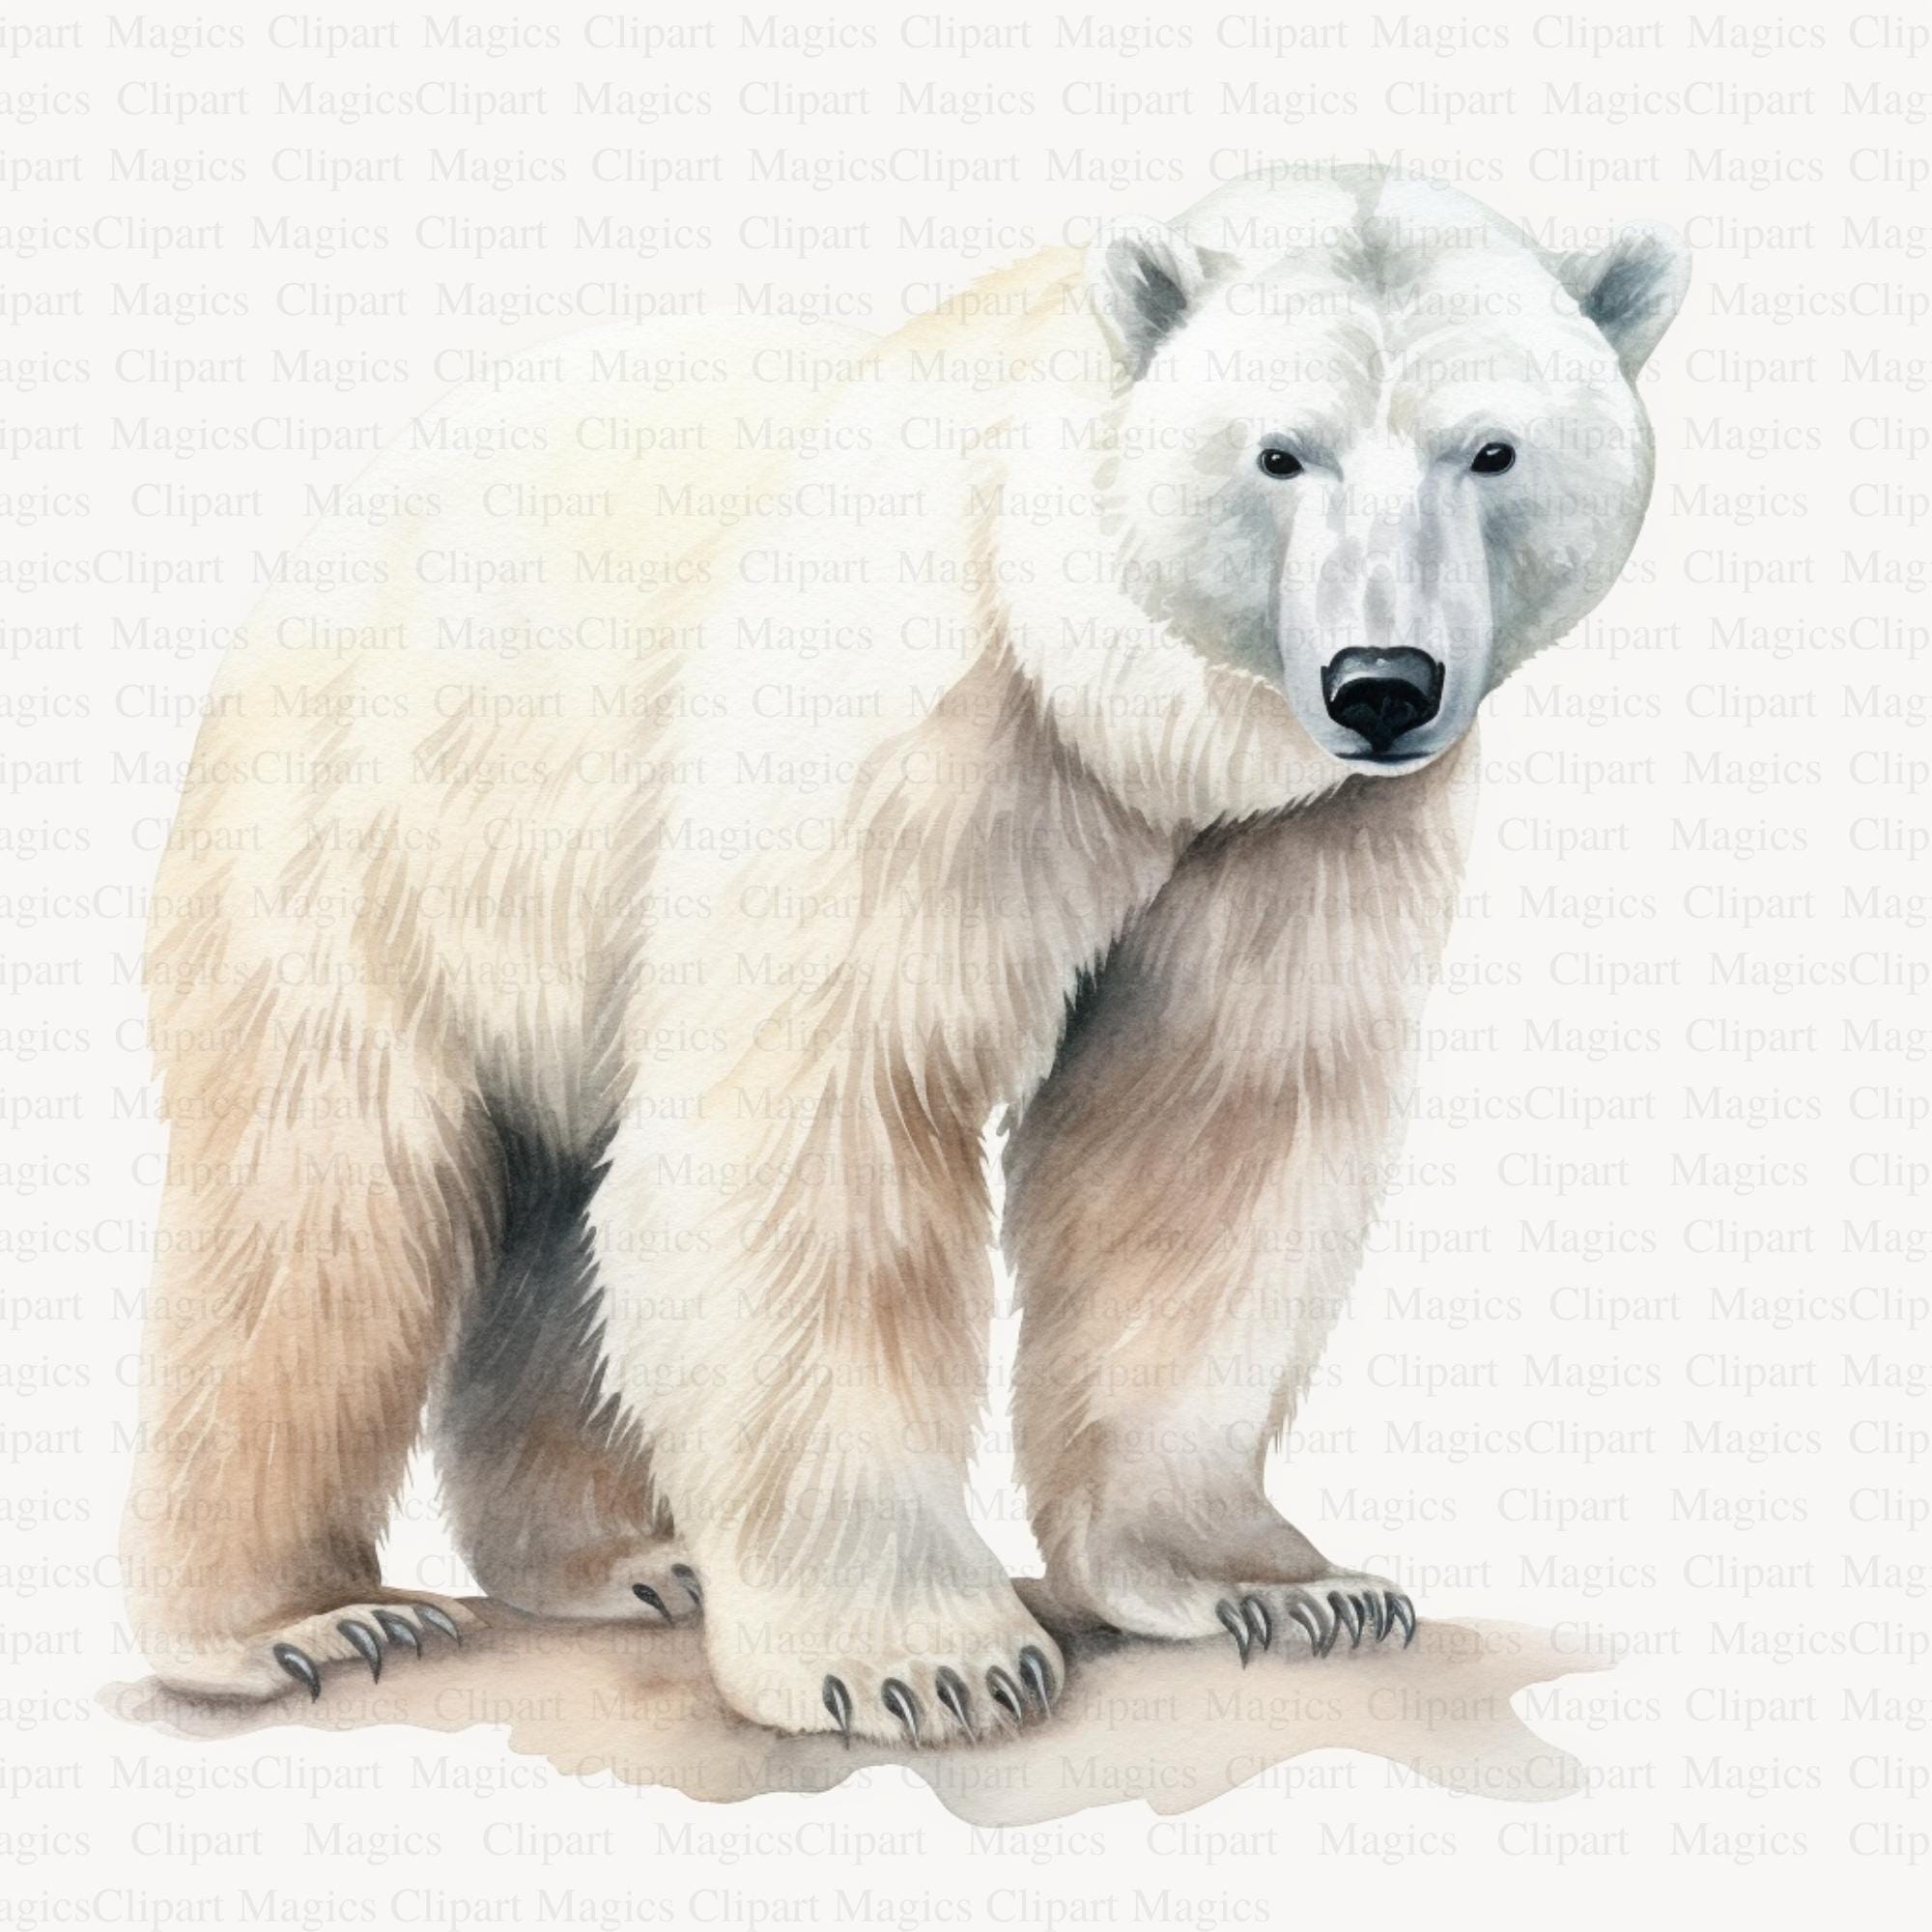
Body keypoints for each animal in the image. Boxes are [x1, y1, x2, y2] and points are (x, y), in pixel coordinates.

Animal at [124, 164, 1686, 1744]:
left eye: (1490, 449)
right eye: (1277, 453)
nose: (1381, 684)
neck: (1127, 715)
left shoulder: (1287, 836)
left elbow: (1210, 1130)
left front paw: (1278, 1588)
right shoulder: (920, 720)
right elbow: (820, 1116)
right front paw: (925, 1660)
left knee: (561, 1200)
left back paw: (624, 1558)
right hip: (375, 819)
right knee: (324, 1200)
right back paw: (296, 1624)